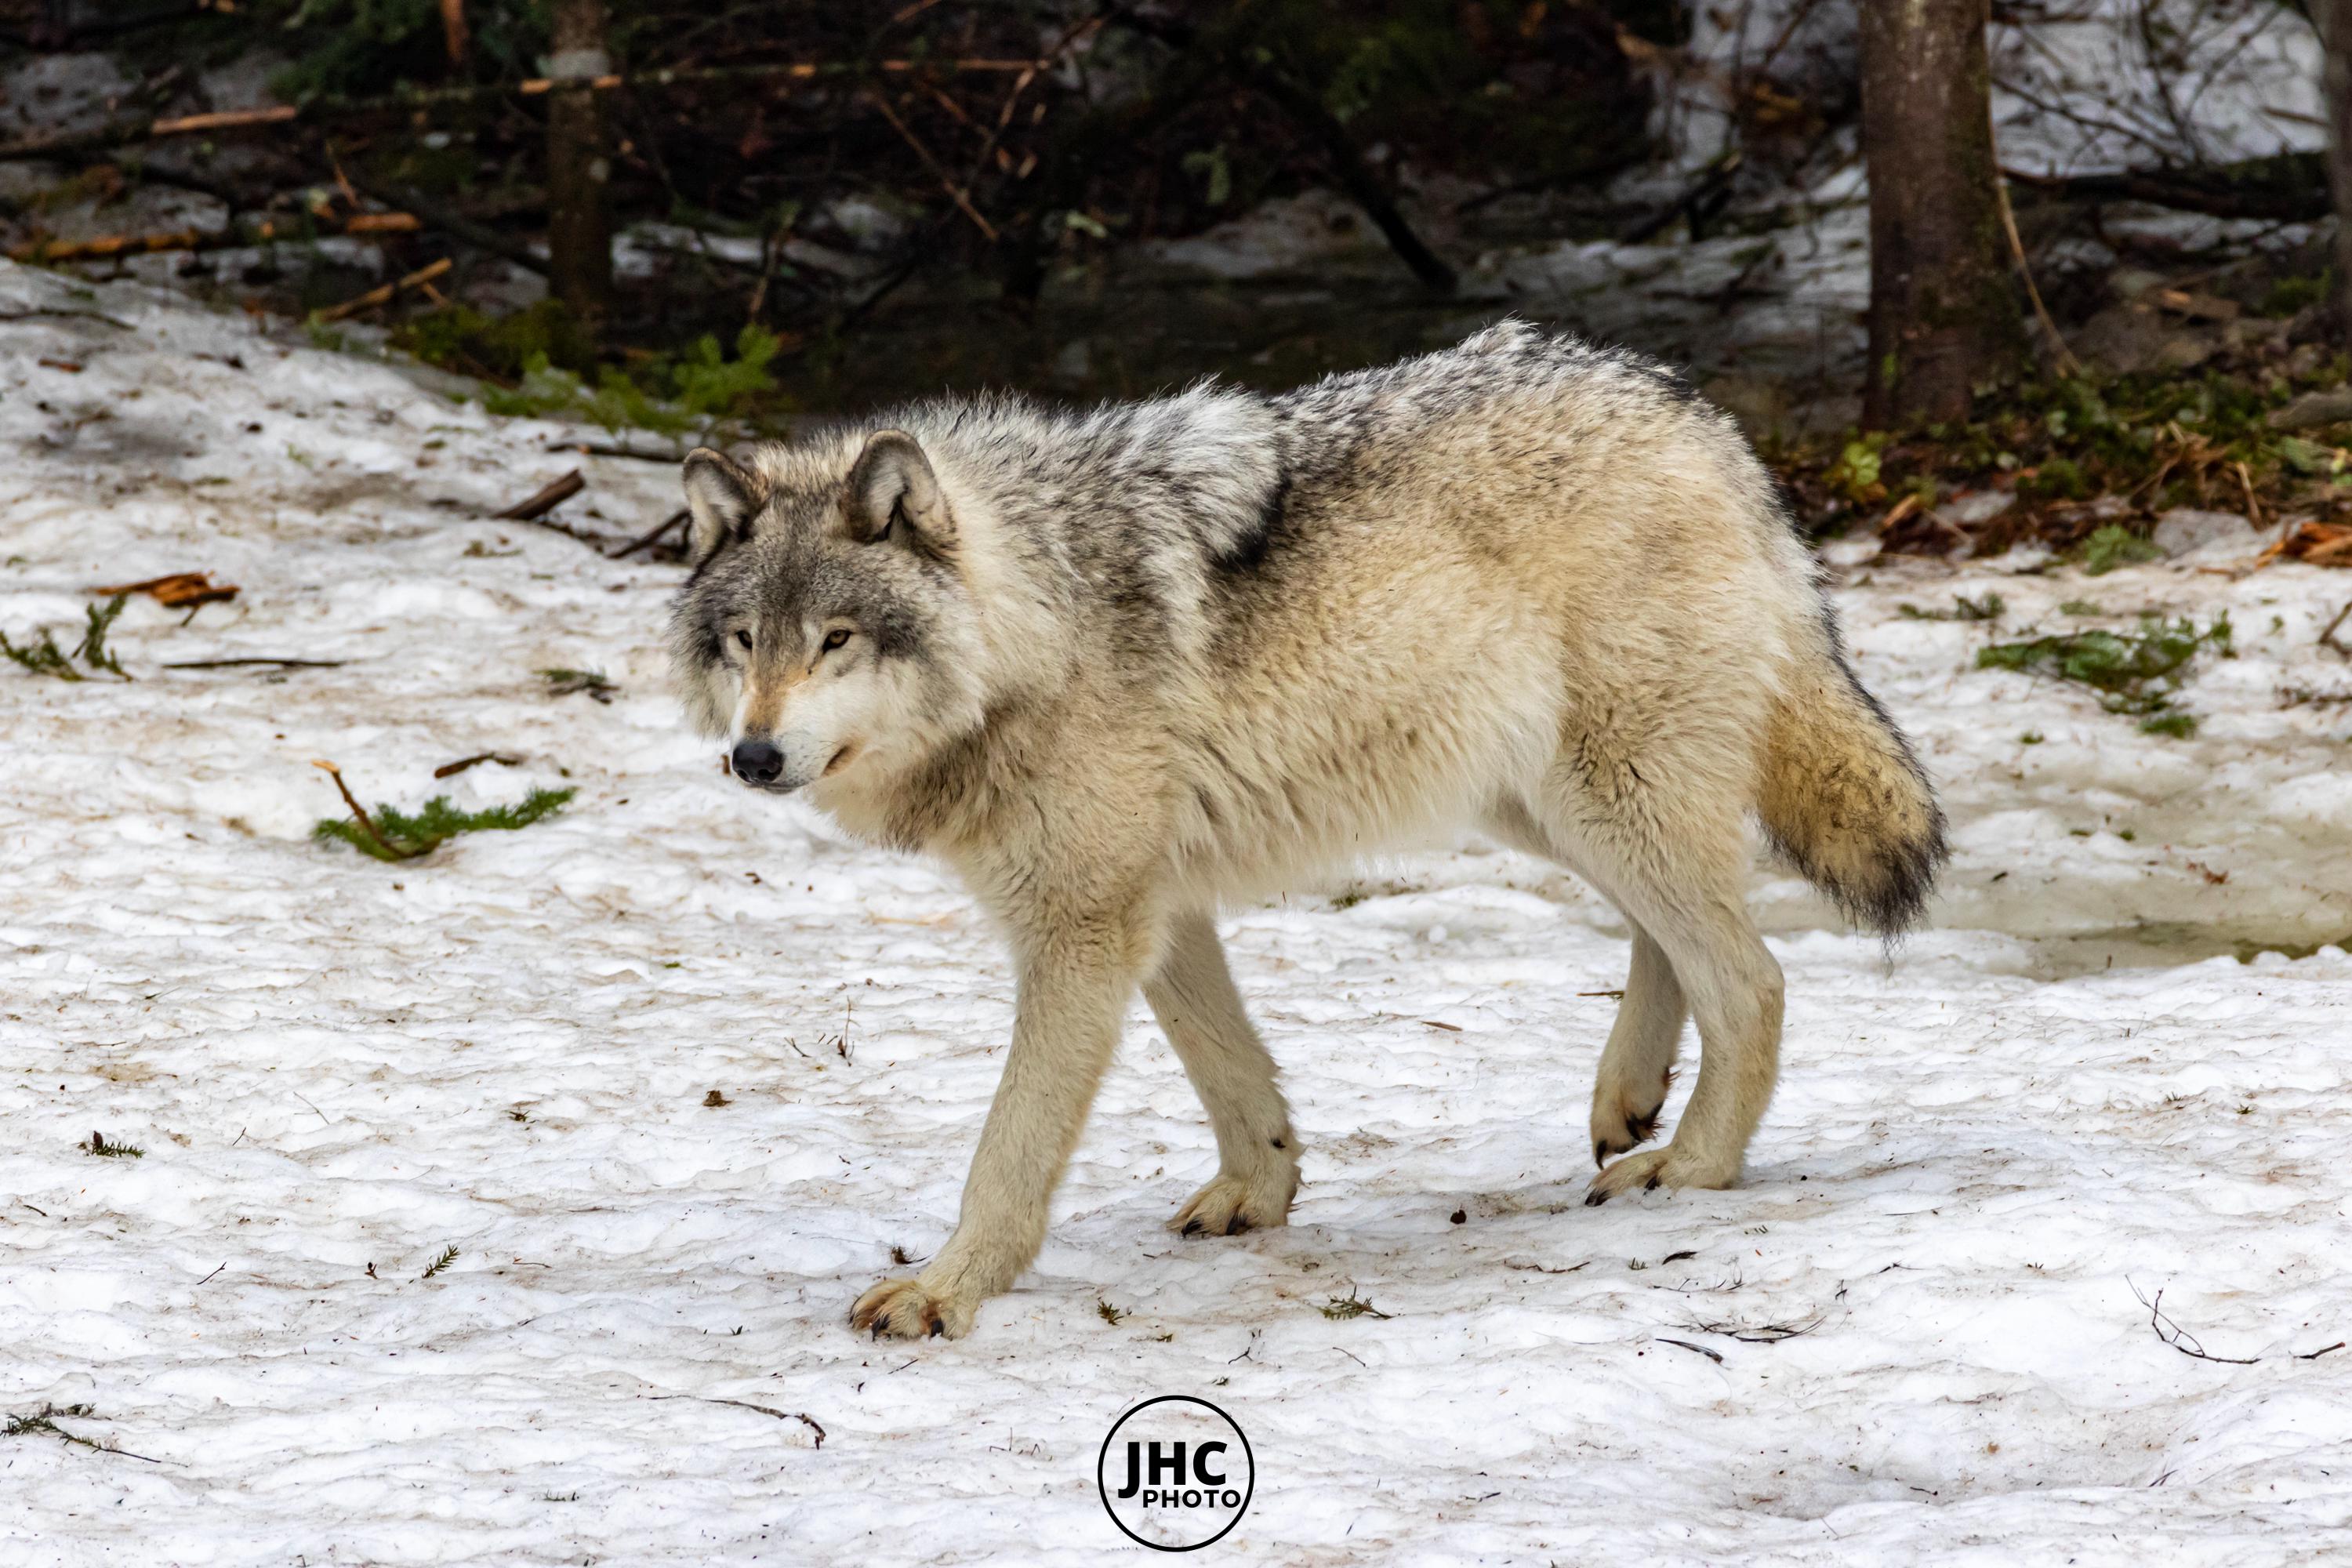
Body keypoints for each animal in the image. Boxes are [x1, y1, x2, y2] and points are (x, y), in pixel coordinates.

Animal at [666, 321, 1945, 1340]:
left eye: (836, 640)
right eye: (746, 643)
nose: (754, 756)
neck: (1043, 622)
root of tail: (1696, 413)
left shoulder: (1082, 929)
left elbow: (1009, 1146)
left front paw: (945, 1291)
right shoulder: (1157, 910)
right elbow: (1230, 1073)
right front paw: (1260, 1194)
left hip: (1602, 794)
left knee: (1752, 977)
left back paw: (1692, 1165)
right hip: (1547, 804)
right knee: (1673, 937)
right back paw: (1629, 1098)